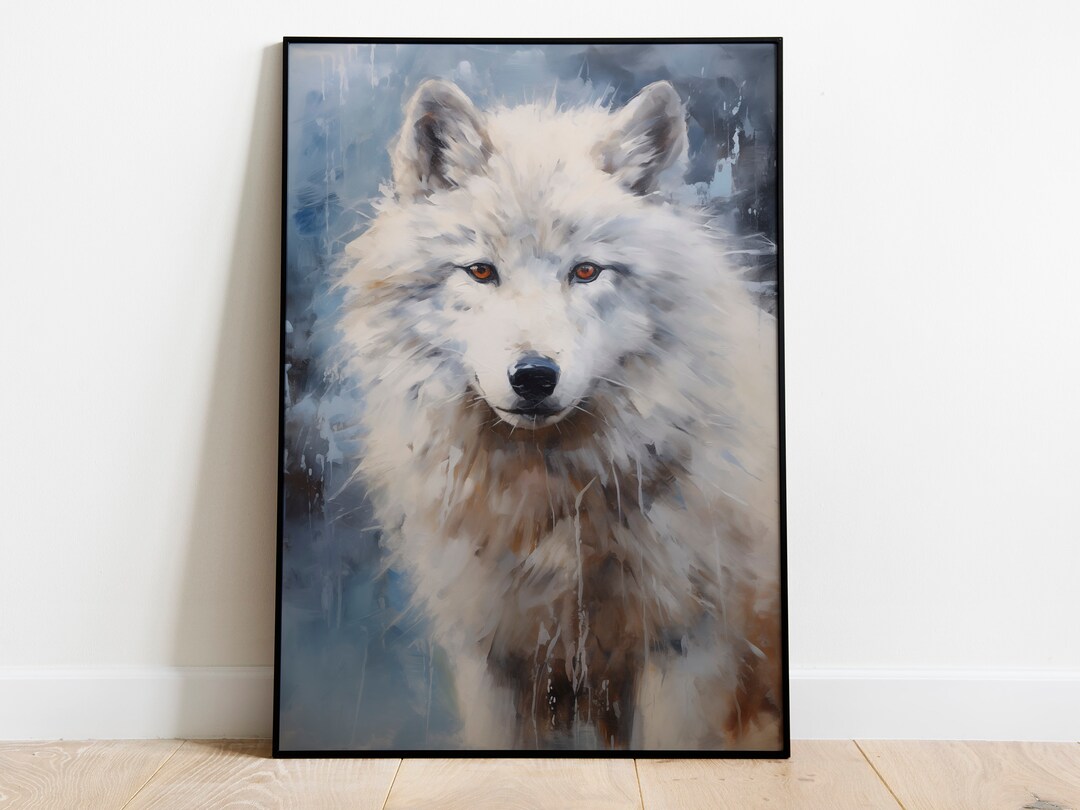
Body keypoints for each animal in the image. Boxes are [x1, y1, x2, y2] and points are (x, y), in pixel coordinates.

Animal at [339, 77, 782, 750]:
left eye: (586, 271)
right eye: (481, 271)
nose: (533, 376)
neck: (553, 502)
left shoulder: (686, 651)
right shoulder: (496, 657)